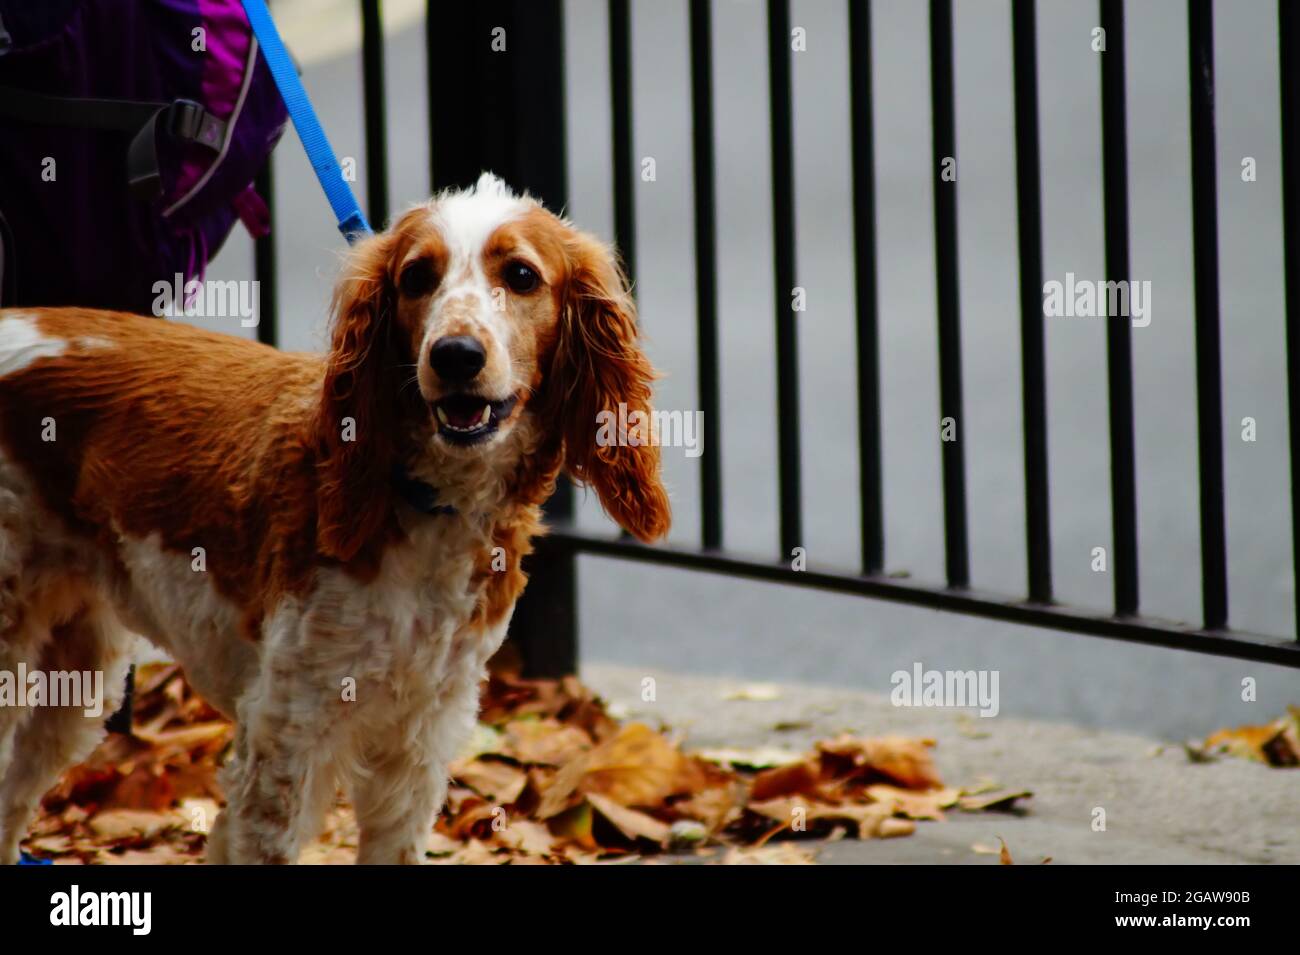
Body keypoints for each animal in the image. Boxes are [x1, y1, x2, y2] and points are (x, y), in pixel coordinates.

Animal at [0, 174, 670, 867]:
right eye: (417, 277)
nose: (455, 355)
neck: (426, 503)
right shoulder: (285, 737)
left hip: (79, 677)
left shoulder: (418, 744)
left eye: (520, 275)